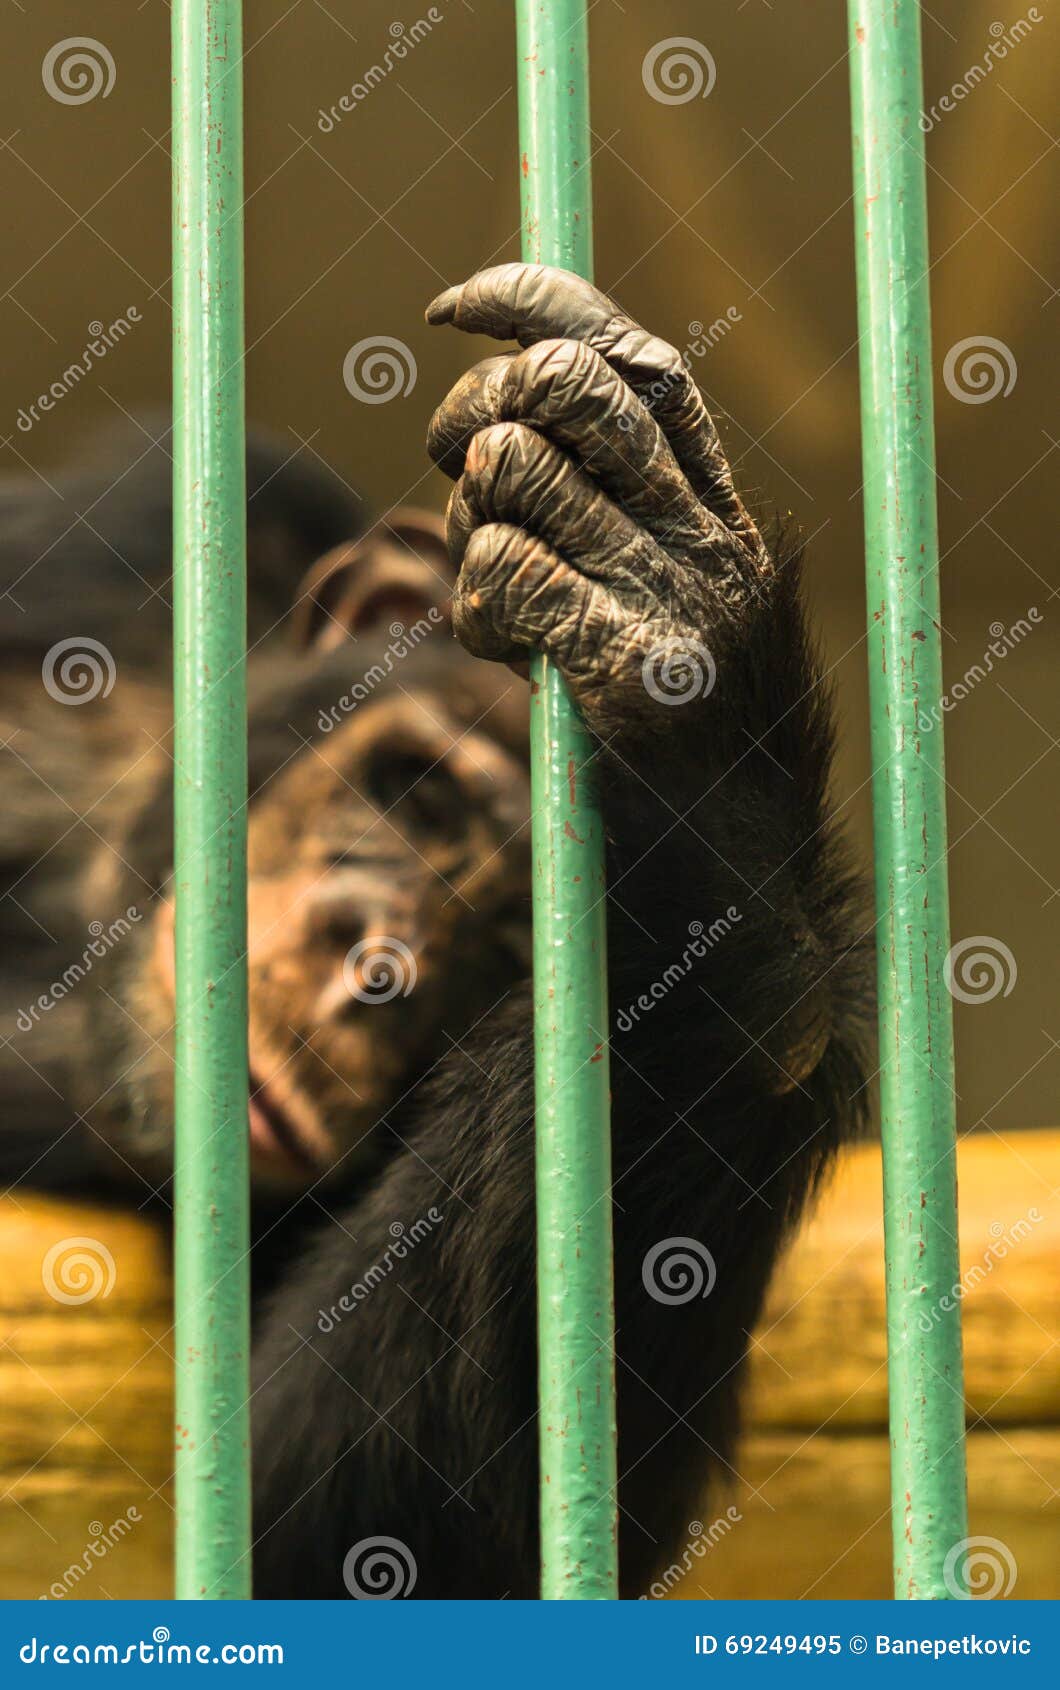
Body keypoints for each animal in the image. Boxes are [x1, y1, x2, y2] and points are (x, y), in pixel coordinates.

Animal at [0, 265, 872, 1600]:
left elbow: (332, 1517)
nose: (377, 962)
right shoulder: (128, 531)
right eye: (426, 798)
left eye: (509, 947)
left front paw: (678, 659)